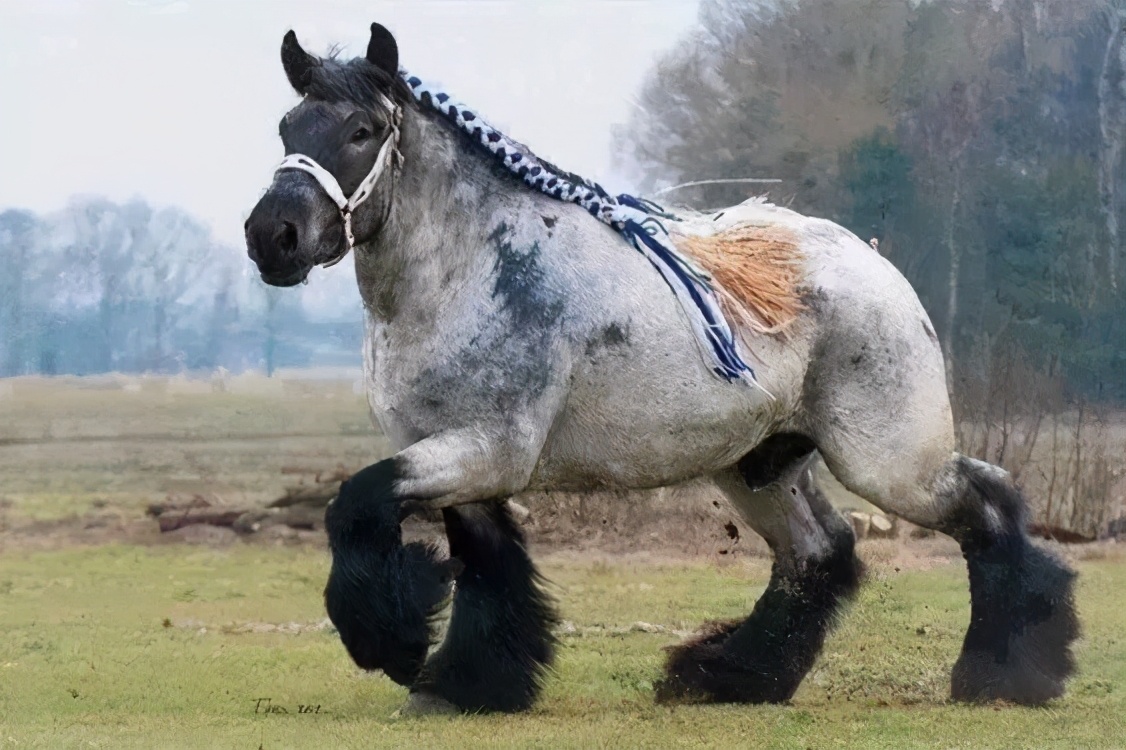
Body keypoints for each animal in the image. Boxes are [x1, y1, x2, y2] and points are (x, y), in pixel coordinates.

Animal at [244, 22, 1078, 714]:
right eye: (287, 127)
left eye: (360, 130)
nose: (272, 236)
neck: (464, 270)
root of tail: (876, 267)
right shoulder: (462, 462)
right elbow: (486, 565)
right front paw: (464, 686)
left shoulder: (483, 450)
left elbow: (355, 504)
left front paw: (392, 643)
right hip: (761, 466)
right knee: (819, 552)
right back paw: (729, 679)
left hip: (890, 461)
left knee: (988, 508)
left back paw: (1005, 674)